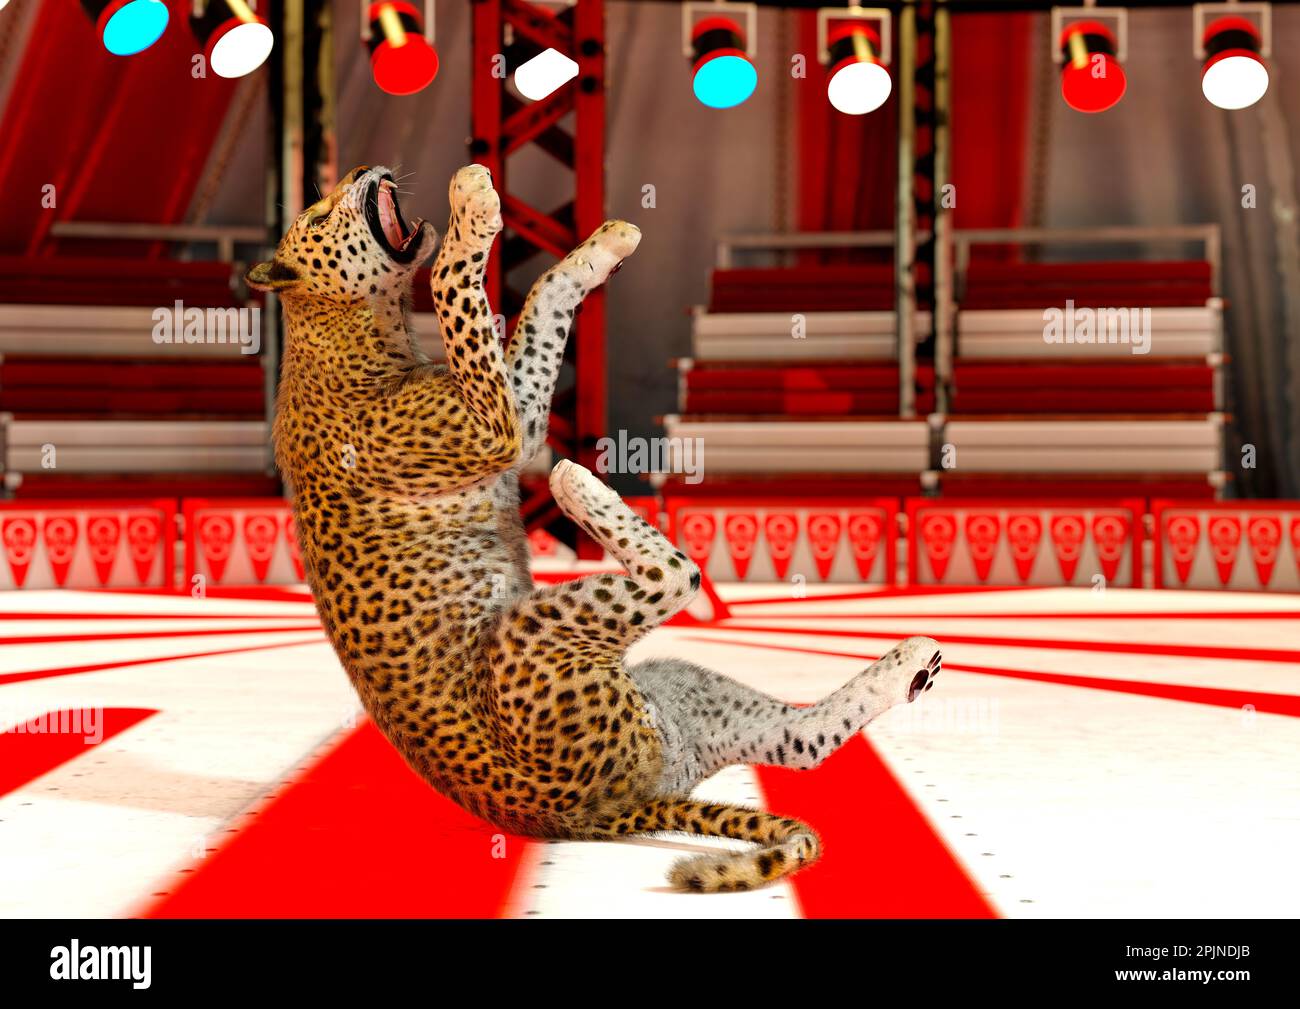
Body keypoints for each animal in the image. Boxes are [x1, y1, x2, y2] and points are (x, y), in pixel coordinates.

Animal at [247, 163, 942, 894]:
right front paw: (474, 204)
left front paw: (600, 248)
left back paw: (913, 664)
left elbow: (536, 312)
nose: (361, 170)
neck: (354, 321)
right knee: (677, 576)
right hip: (527, 636)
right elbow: (451, 283)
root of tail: (600, 810)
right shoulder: (492, 426)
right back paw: (577, 484)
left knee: (802, 742)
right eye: (318, 214)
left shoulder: (514, 418)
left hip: (686, 688)